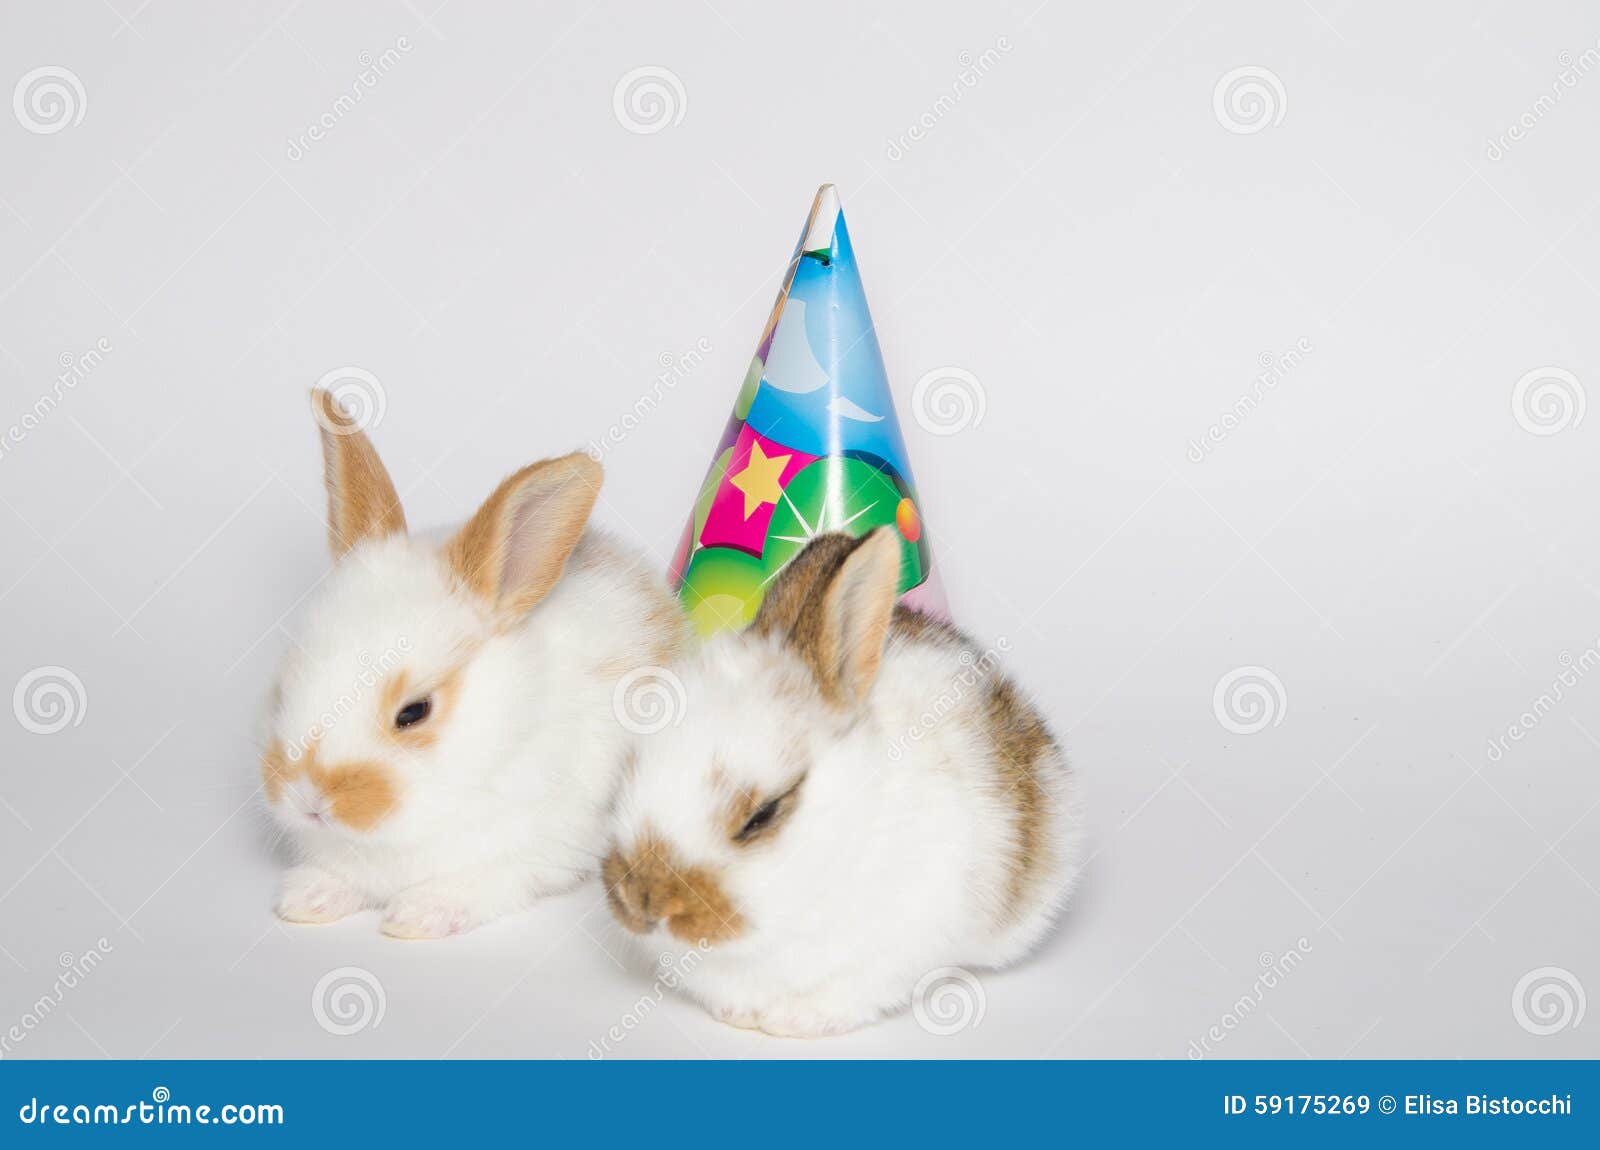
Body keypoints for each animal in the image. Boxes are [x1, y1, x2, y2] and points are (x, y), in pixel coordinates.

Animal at [261, 390, 688, 938]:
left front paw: (416, 915)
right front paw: (307, 898)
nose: (309, 800)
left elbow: (479, 884)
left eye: (413, 712)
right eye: (287, 680)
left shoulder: (535, 850)